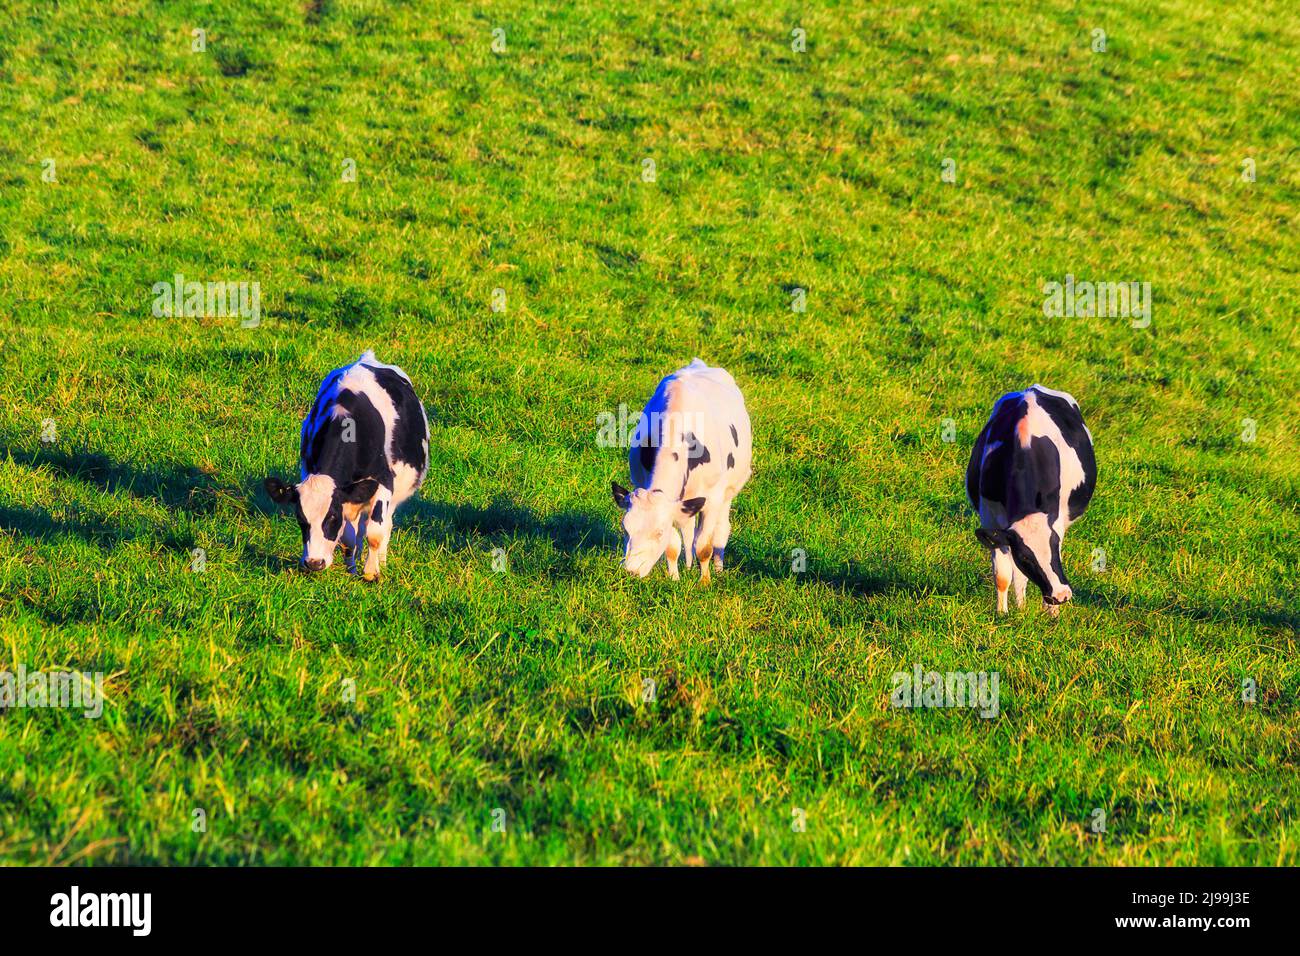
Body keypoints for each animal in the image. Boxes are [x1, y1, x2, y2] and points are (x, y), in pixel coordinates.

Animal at [264, 351, 429, 581]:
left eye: (332, 516)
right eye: (300, 518)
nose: (314, 563)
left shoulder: (382, 482)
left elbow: (375, 533)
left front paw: (371, 573)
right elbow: (348, 539)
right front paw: (351, 569)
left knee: (385, 524)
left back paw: (382, 562)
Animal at [611, 359, 752, 583]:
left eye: (658, 532)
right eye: (625, 528)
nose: (631, 570)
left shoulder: (712, 497)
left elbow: (704, 545)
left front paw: (704, 582)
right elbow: (673, 546)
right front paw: (674, 578)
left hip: (729, 491)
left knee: (721, 530)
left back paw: (719, 569)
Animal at [966, 384, 1096, 615]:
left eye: (1055, 548)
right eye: (1026, 558)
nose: (1061, 595)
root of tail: (1033, 388)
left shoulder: (1056, 519)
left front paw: (1052, 613)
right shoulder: (991, 520)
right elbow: (1003, 574)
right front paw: (1003, 613)